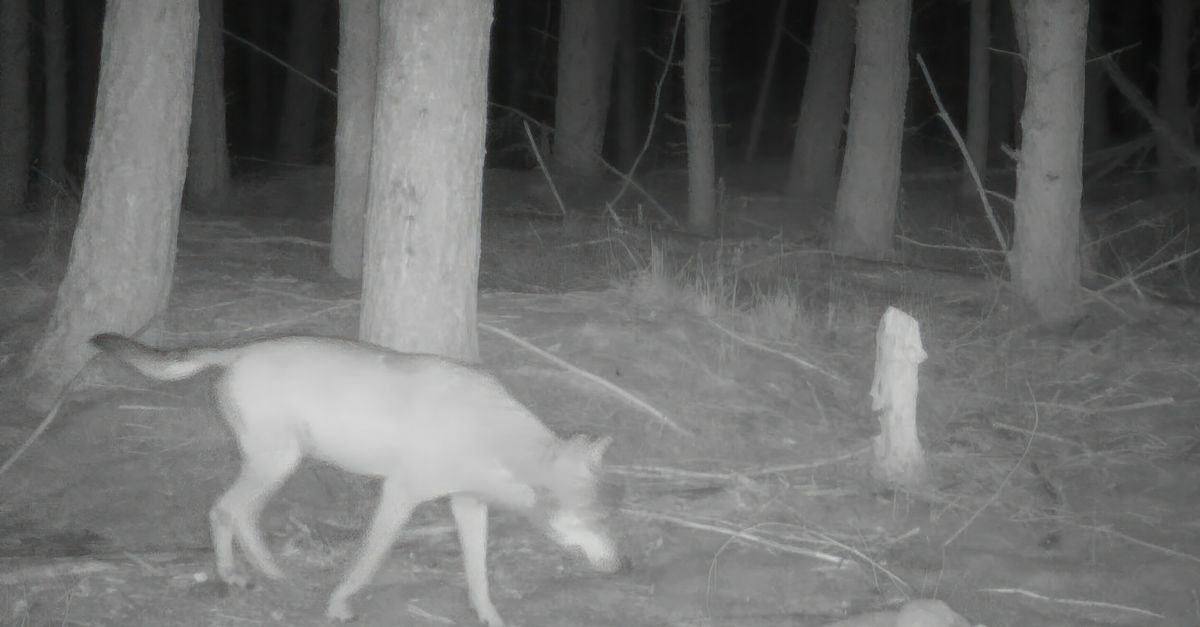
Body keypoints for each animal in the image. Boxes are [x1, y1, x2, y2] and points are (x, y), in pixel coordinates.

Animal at [90, 333, 623, 626]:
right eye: (597, 518)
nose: (624, 566)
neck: (487, 434)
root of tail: (236, 351)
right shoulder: (400, 493)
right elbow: (367, 561)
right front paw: (339, 606)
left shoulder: (467, 504)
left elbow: (479, 575)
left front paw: (490, 617)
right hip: (277, 462)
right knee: (224, 510)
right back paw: (233, 575)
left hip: (279, 464)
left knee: (243, 516)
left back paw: (272, 573)